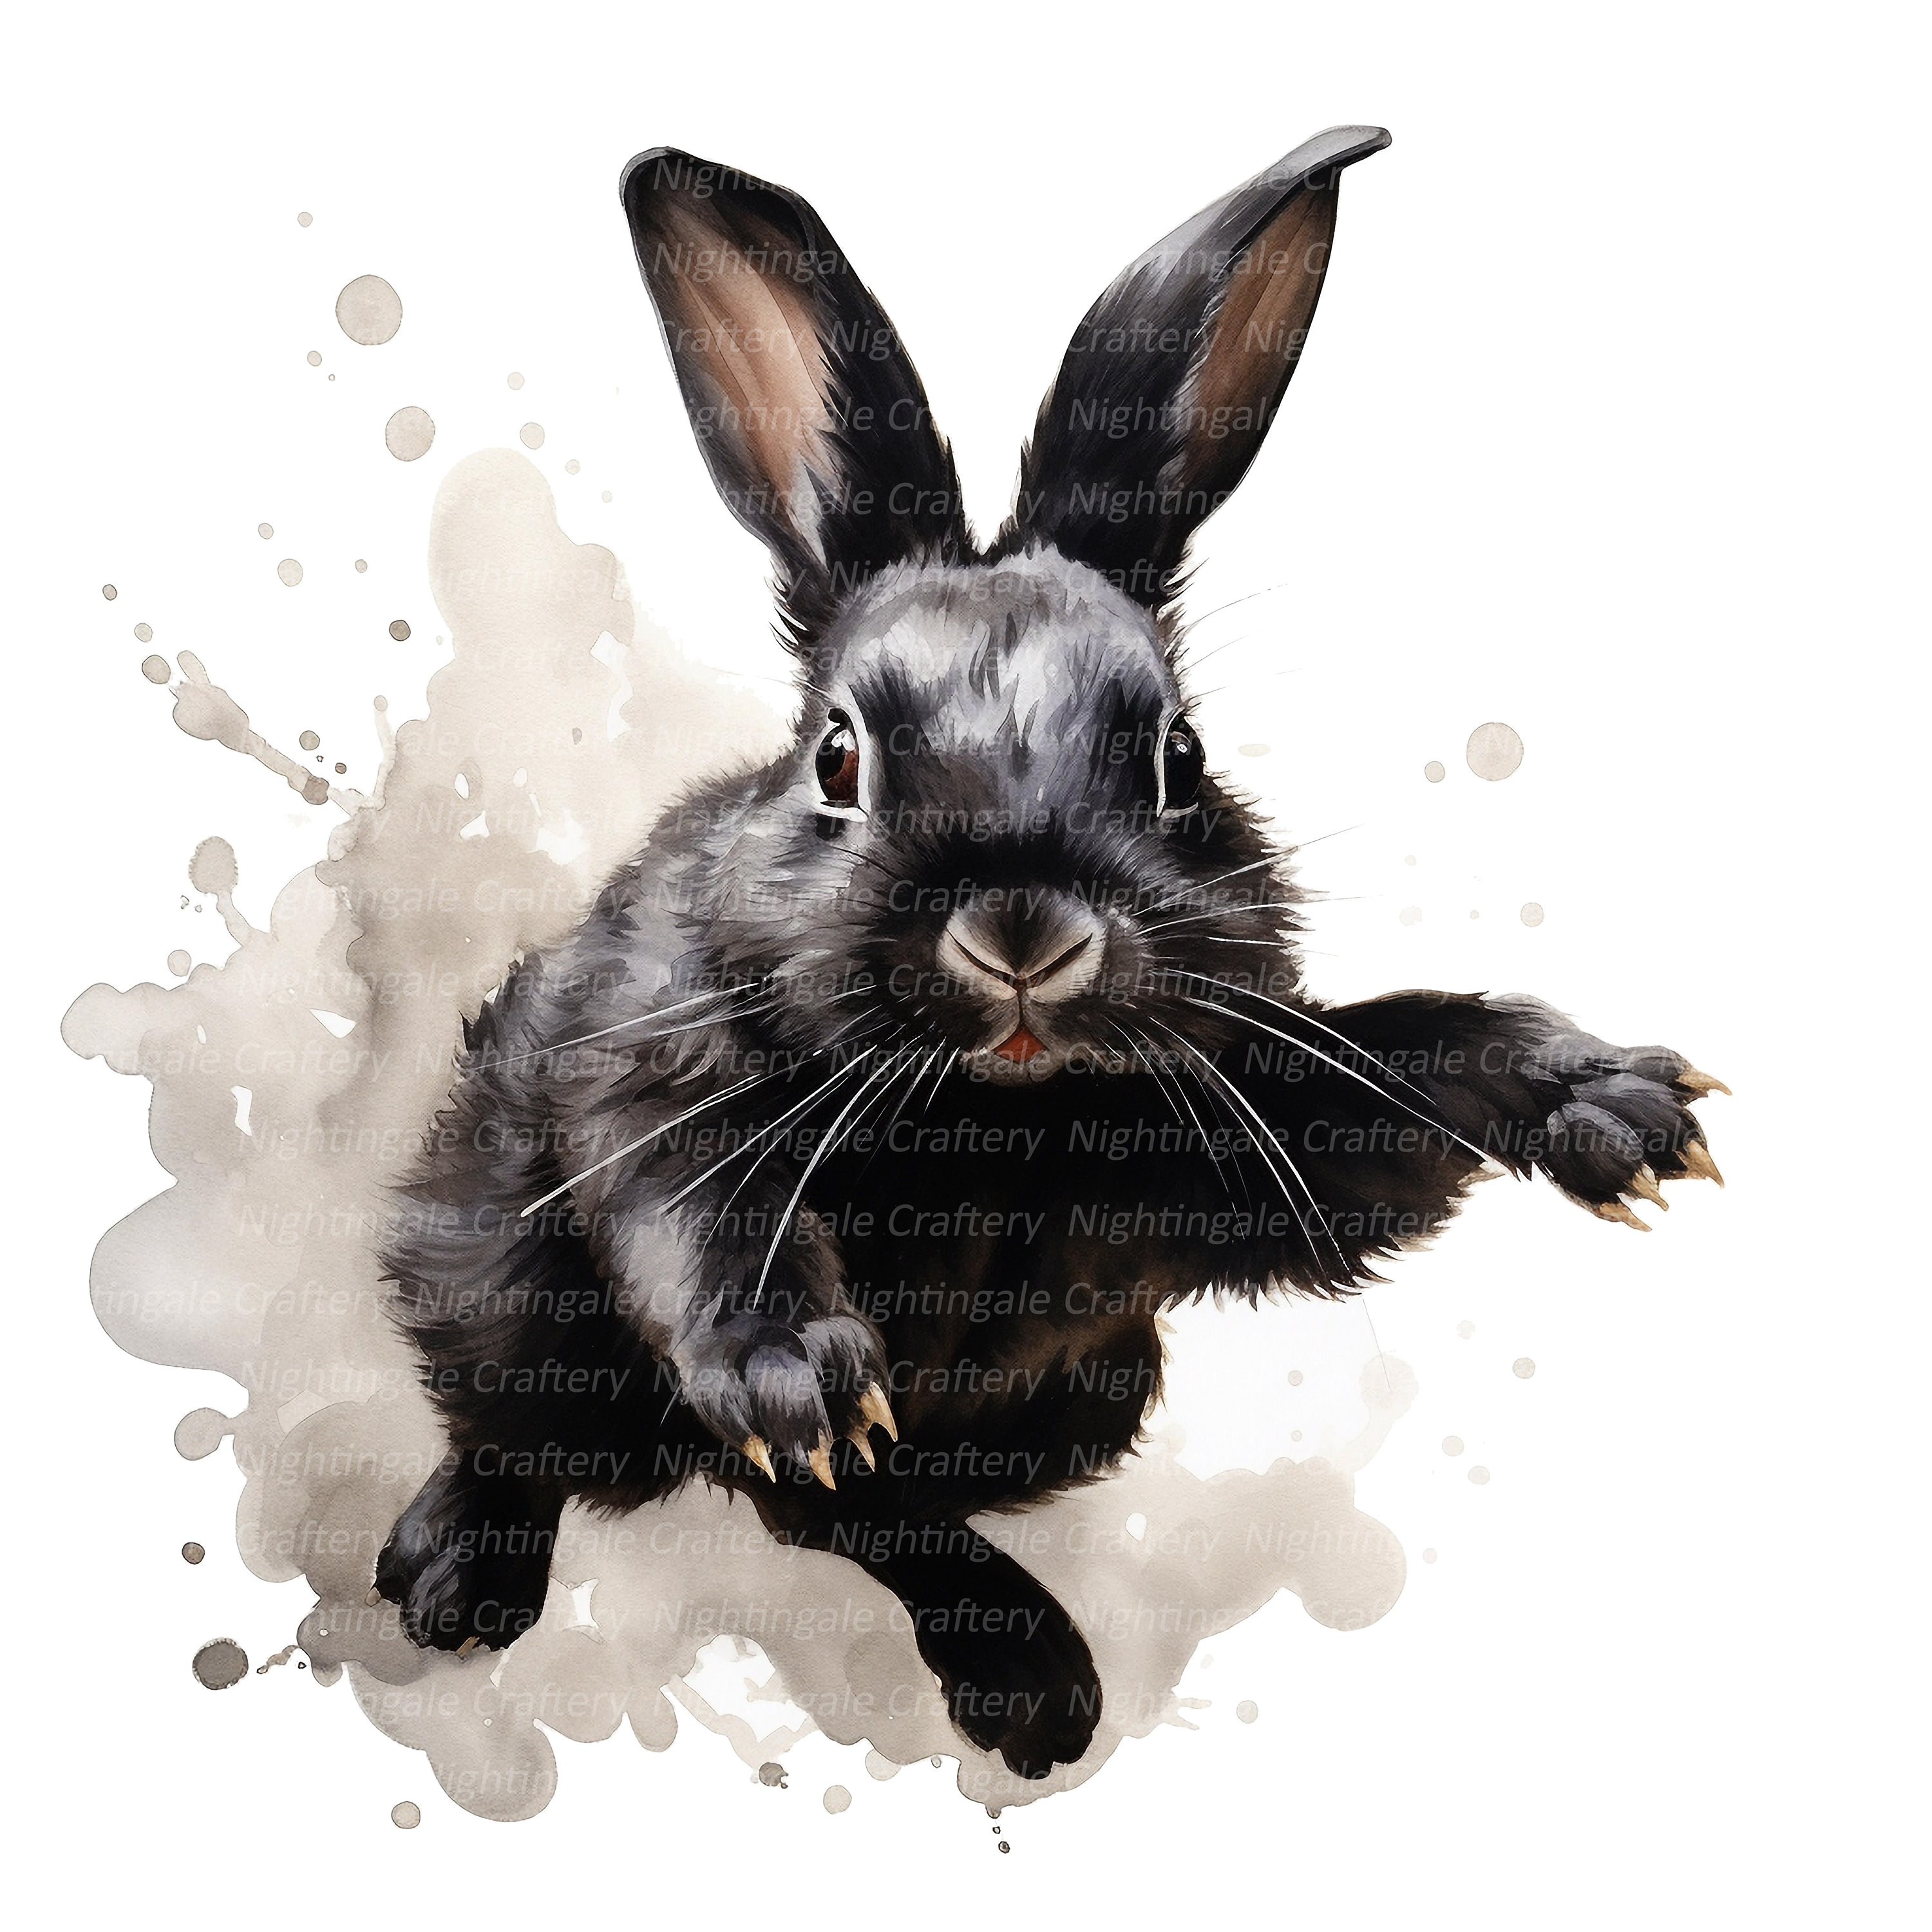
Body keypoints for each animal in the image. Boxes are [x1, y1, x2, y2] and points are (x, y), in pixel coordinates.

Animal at [374, 125, 1725, 1780]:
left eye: (1177, 756)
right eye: (838, 758)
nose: (1025, 928)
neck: (994, 1118)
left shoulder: (1250, 1124)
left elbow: (1408, 1050)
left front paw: (1615, 1103)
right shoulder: (651, 1075)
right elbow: (704, 1215)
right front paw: (795, 1372)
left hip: (1094, 1386)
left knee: (848, 1516)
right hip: (491, 1277)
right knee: (562, 1443)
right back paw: (464, 1579)